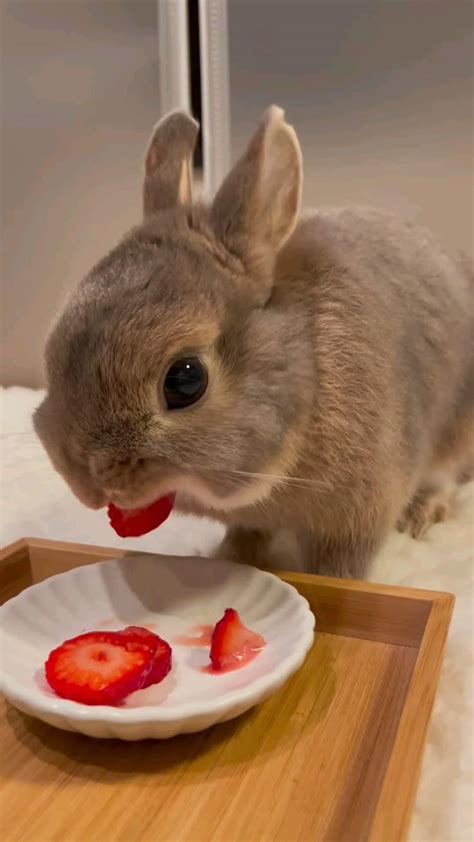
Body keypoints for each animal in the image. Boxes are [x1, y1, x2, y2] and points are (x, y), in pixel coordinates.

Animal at [33, 106, 474, 578]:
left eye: (186, 380)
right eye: (53, 355)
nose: (90, 483)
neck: (311, 376)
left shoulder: (360, 515)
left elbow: (340, 567)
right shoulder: (252, 518)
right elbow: (248, 537)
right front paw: (229, 558)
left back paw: (423, 514)